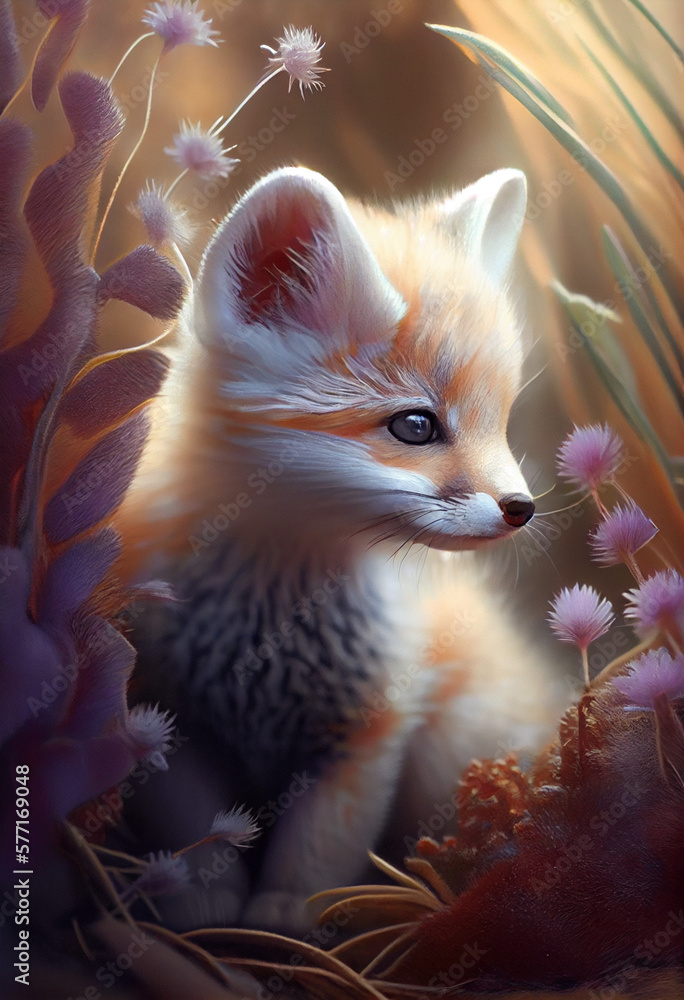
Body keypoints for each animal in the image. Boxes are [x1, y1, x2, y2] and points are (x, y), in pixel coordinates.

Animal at [117, 165, 560, 932]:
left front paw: (289, 925)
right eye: (417, 426)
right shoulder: (163, 711)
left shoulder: (371, 728)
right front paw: (202, 905)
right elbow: (199, 833)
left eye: (499, 420)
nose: (521, 509)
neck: (266, 627)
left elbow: (317, 858)